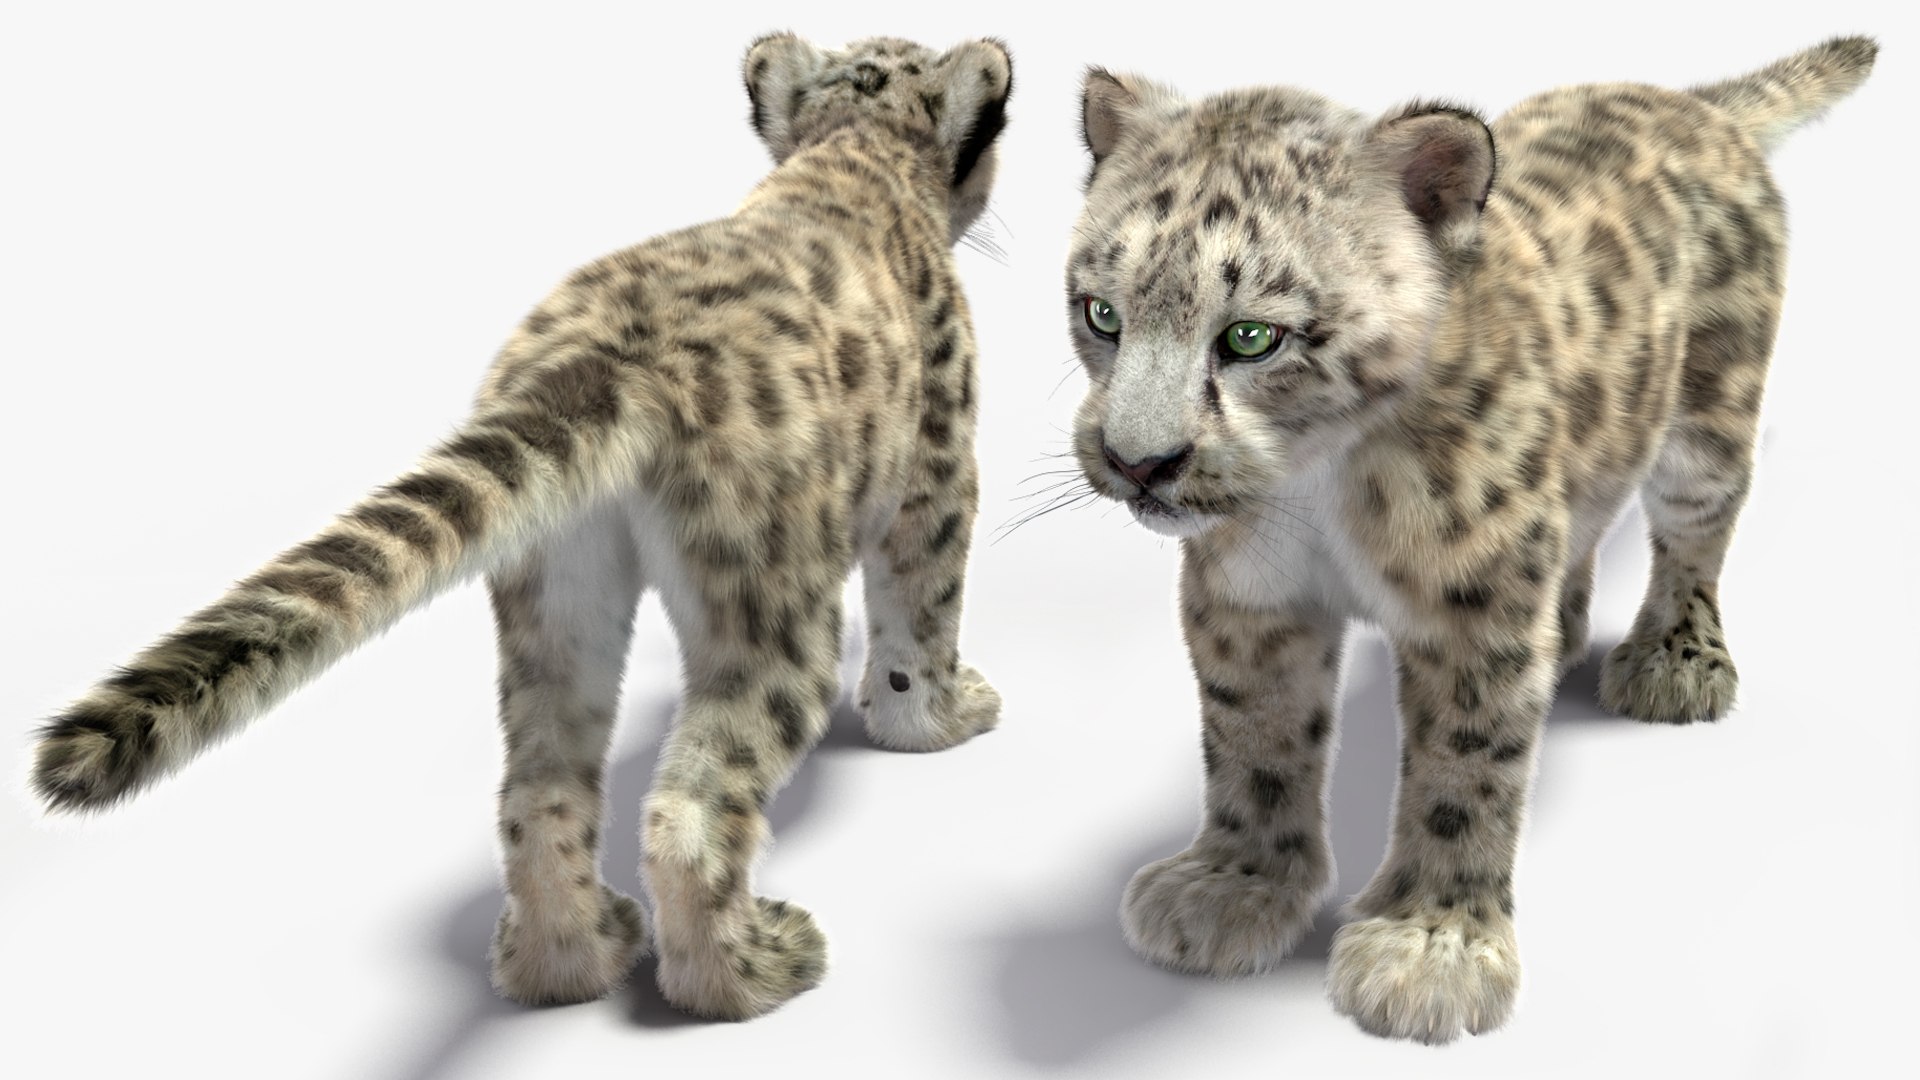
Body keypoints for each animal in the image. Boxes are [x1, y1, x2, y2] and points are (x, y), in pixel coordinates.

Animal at [28, 32, 1012, 1021]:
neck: (855, 149)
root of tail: (614, 357)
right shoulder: (941, 471)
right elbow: (923, 613)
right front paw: (941, 718)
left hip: (557, 588)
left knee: (538, 791)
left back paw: (568, 960)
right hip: (769, 602)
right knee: (689, 808)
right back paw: (751, 969)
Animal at [1062, 37, 1875, 1042]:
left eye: (1252, 337)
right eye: (1101, 314)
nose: (1137, 462)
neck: (1319, 485)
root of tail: (1692, 102)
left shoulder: (1473, 605)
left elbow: (1463, 769)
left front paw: (1430, 947)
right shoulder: (1248, 598)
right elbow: (1252, 738)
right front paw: (1232, 883)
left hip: (1710, 419)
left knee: (1697, 532)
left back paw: (1672, 662)